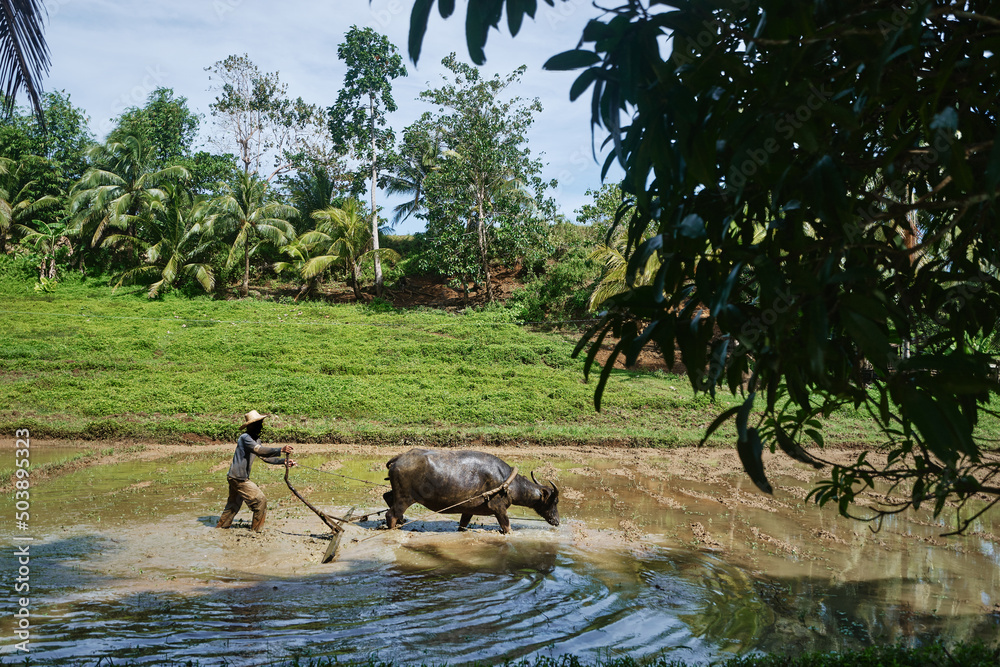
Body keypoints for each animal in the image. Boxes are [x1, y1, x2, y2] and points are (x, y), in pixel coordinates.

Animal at [383, 448, 559, 534]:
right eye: (555, 501)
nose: (557, 521)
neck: (508, 483)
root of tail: (400, 458)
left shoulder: (468, 510)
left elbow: (463, 525)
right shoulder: (499, 508)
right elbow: (507, 528)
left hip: (398, 494)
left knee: (387, 496)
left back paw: (401, 521)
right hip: (405, 498)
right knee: (391, 514)